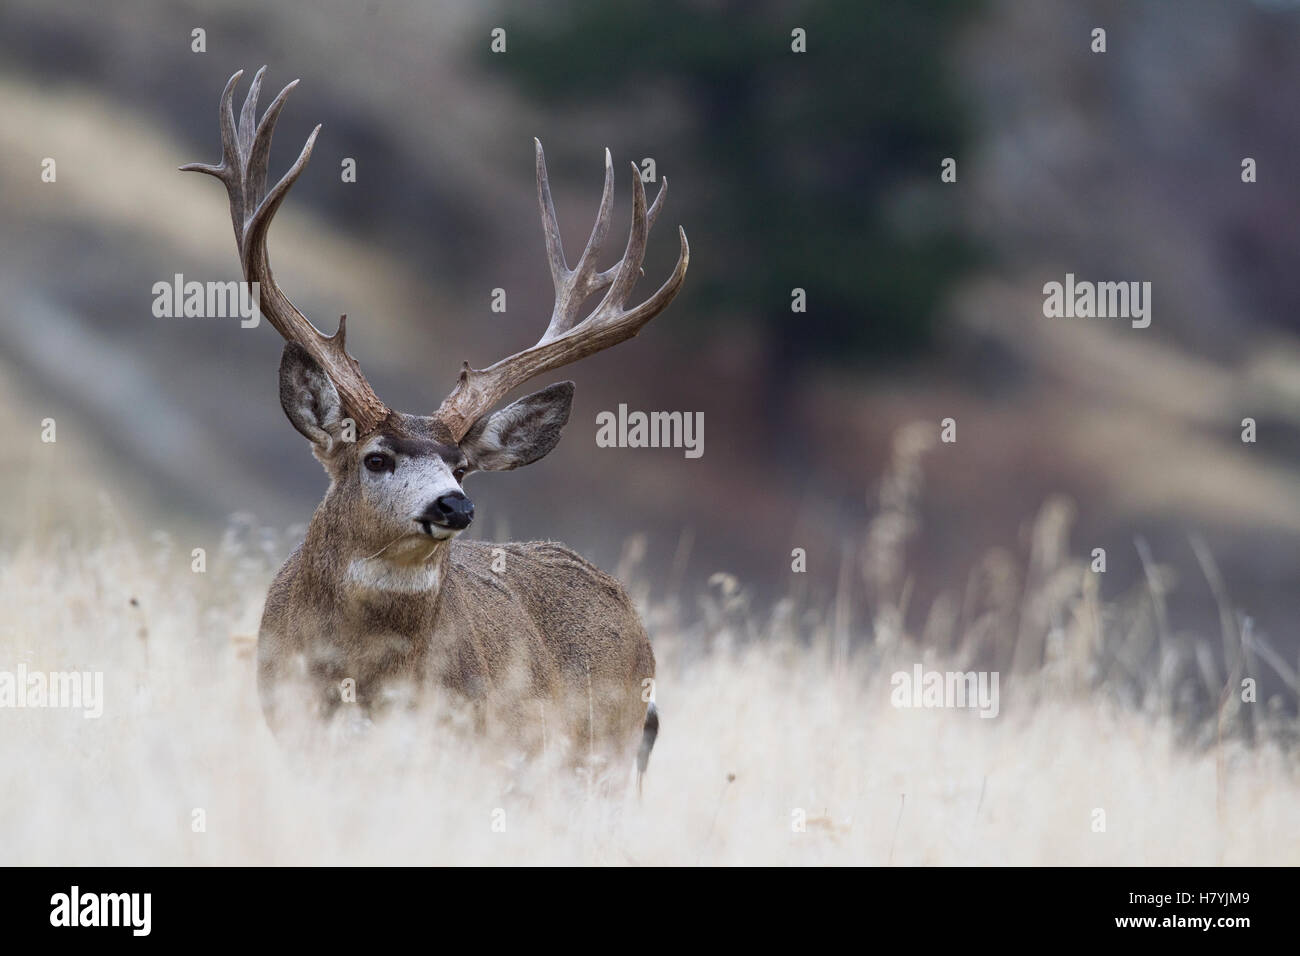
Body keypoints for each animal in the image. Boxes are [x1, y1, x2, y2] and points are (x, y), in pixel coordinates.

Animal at [181, 69, 687, 788]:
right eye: (376, 458)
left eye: (462, 465)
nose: (454, 505)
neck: (362, 678)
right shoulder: (292, 726)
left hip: (601, 761)